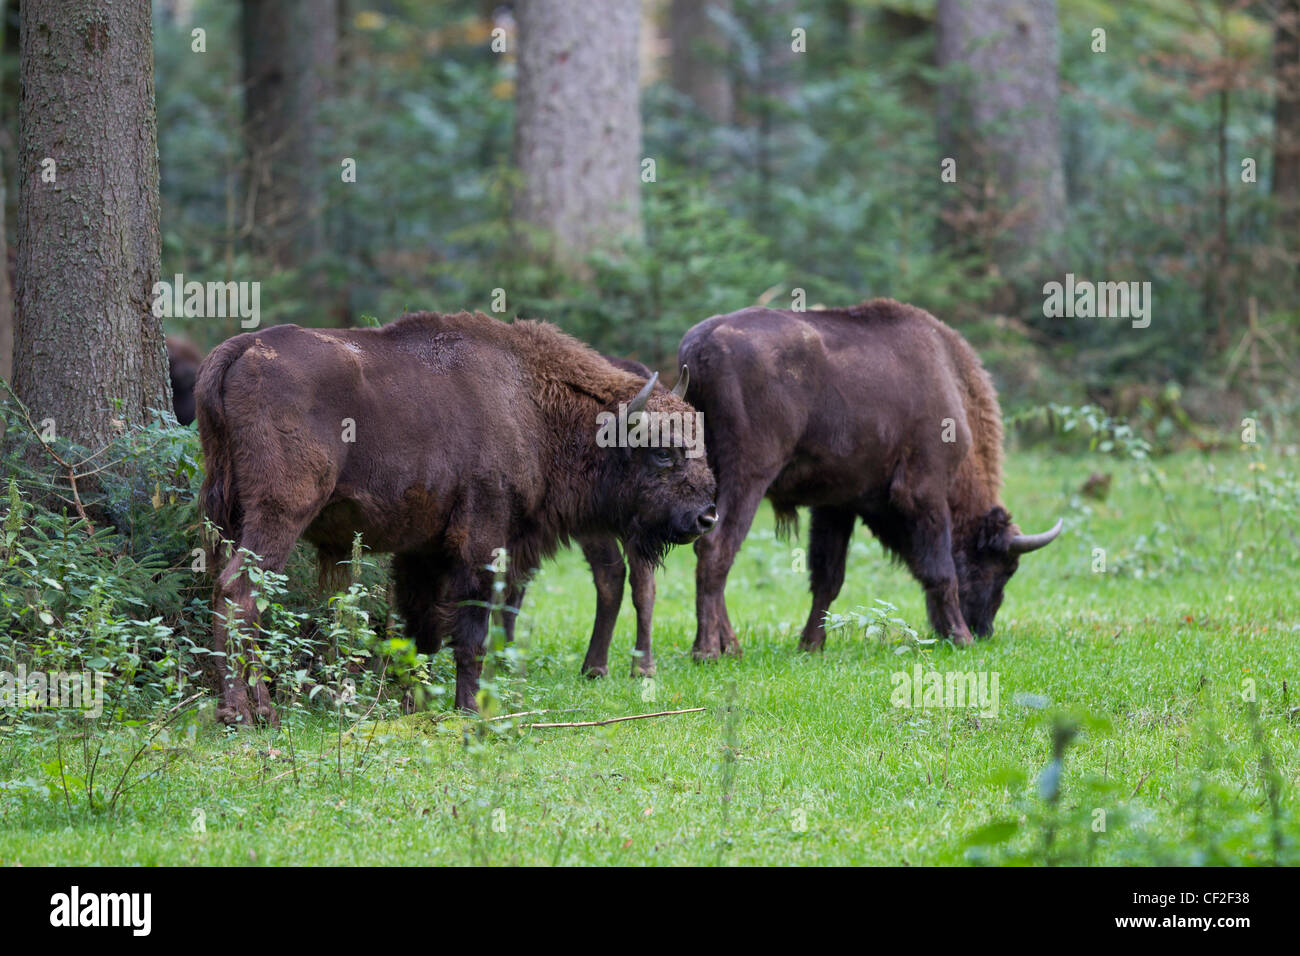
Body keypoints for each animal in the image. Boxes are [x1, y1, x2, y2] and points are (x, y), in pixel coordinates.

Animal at [678, 298, 1062, 659]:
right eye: (1003, 566)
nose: (984, 630)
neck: (948, 380)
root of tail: (700, 345)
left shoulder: (836, 504)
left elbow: (828, 578)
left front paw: (811, 644)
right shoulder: (926, 492)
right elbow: (941, 571)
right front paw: (961, 638)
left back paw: (730, 646)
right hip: (748, 476)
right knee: (717, 547)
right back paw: (708, 651)